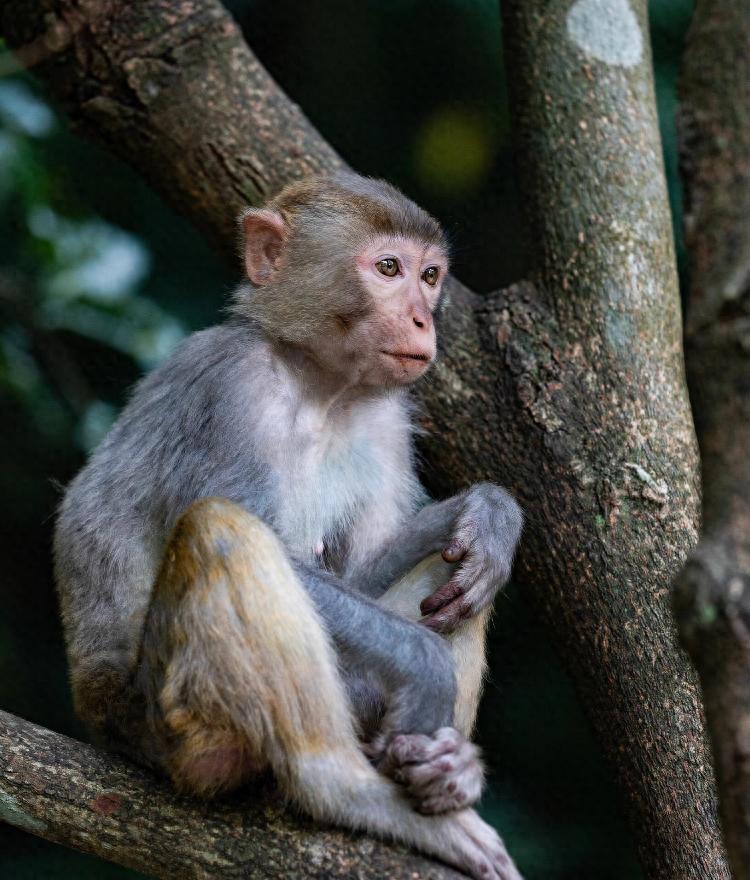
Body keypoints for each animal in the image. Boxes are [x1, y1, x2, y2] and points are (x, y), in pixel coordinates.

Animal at [53, 173, 524, 880]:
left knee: (460, 575)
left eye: (430, 275)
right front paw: (427, 665)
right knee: (219, 530)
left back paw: (445, 770)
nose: (422, 317)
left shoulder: (385, 425)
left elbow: (372, 570)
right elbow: (270, 547)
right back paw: (348, 788)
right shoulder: (227, 388)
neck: (319, 388)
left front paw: (489, 512)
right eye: (388, 269)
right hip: (177, 723)